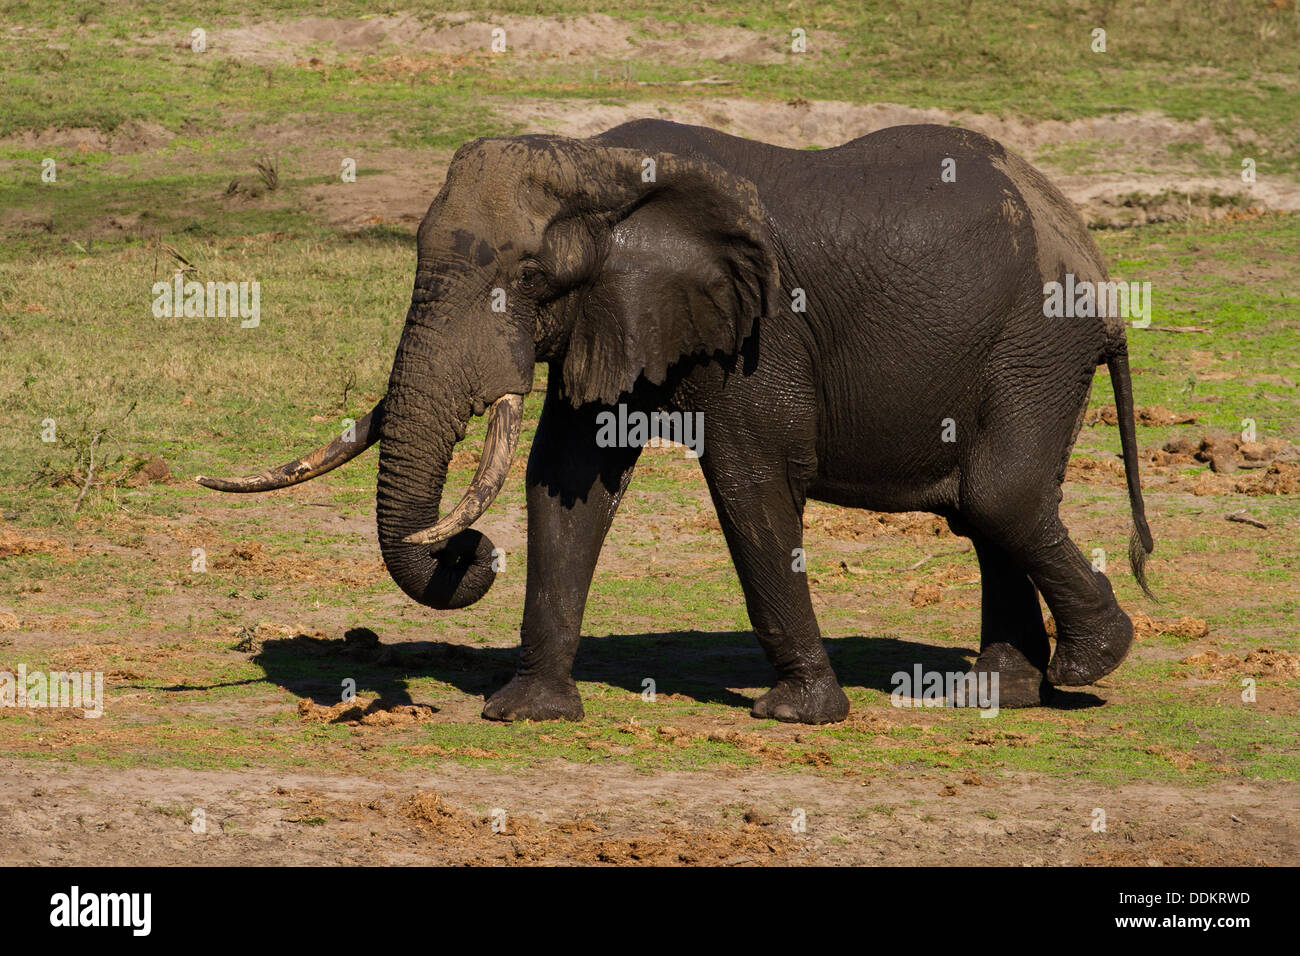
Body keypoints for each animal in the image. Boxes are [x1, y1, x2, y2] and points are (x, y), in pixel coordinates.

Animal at [197, 119, 1154, 724]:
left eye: (530, 278)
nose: (469, 553)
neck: (604, 162)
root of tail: (1089, 249)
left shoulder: (761, 337)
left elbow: (749, 485)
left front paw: (797, 714)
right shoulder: (612, 312)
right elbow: (565, 485)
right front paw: (528, 712)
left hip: (1035, 348)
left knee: (997, 497)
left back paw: (1086, 666)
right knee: (985, 511)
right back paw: (994, 695)